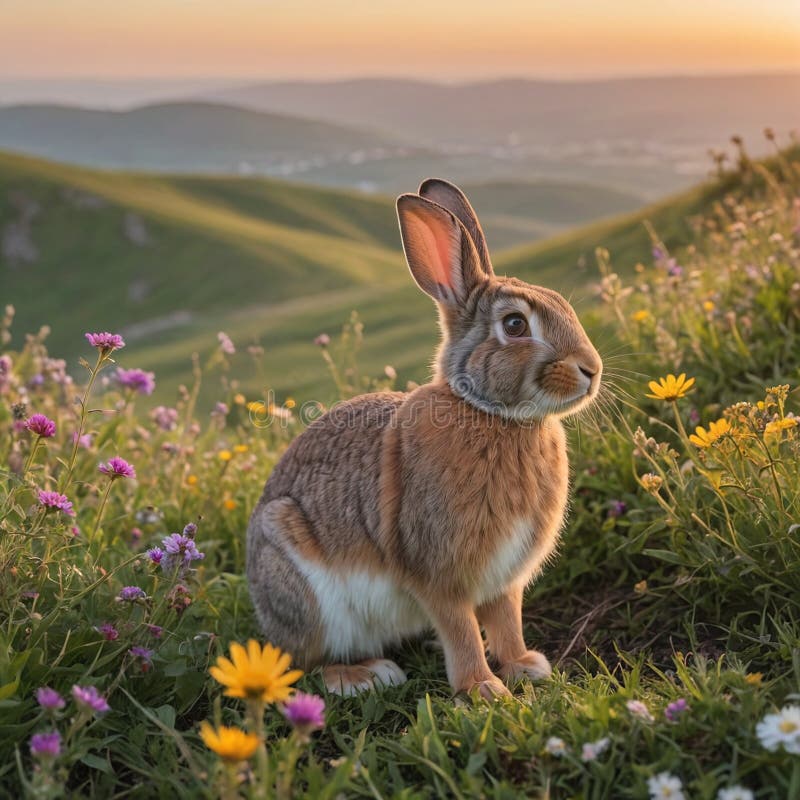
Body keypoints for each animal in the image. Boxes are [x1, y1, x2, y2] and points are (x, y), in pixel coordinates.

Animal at [246, 178, 602, 699]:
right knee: (303, 666)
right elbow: (459, 627)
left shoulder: (504, 578)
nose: (591, 370)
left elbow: (506, 619)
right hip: (303, 587)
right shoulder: (439, 571)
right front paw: (483, 689)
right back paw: (367, 675)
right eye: (515, 325)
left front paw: (524, 665)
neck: (493, 414)